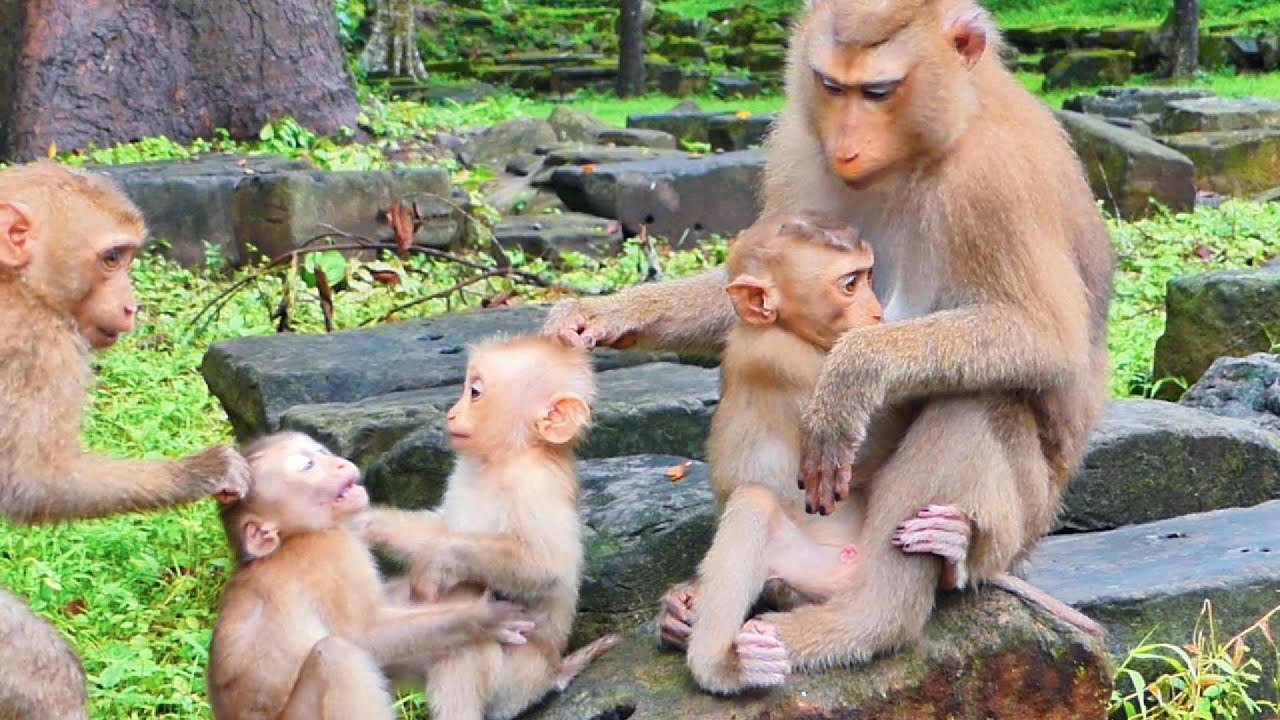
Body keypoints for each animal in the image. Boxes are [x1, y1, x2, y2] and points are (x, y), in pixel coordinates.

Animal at [0, 160, 250, 719]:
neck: (17, 281)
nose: (132, 306)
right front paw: (200, 471)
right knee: (50, 677)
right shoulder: (45, 344)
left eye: (127, 258)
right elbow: (30, 483)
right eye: (111, 258)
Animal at [206, 431, 534, 720]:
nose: (341, 463)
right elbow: (364, 633)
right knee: (336, 656)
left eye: (322, 452)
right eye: (307, 465)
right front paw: (482, 619)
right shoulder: (330, 552)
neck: (293, 536)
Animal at [358, 335, 622, 720]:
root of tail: (553, 671)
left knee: (469, 623)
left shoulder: (531, 485)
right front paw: (366, 522)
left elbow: (547, 568)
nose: (451, 412)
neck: (503, 459)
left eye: (475, 392)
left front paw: (436, 565)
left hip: (515, 684)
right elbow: (440, 527)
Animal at [544, 0, 1113, 691]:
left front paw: (849, 379)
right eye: (832, 86)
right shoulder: (799, 146)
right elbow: (745, 283)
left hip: (1022, 519)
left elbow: (1048, 339)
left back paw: (901, 594)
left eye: (879, 91)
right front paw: (605, 314)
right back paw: (697, 616)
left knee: (981, 394)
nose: (845, 146)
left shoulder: (994, 181)